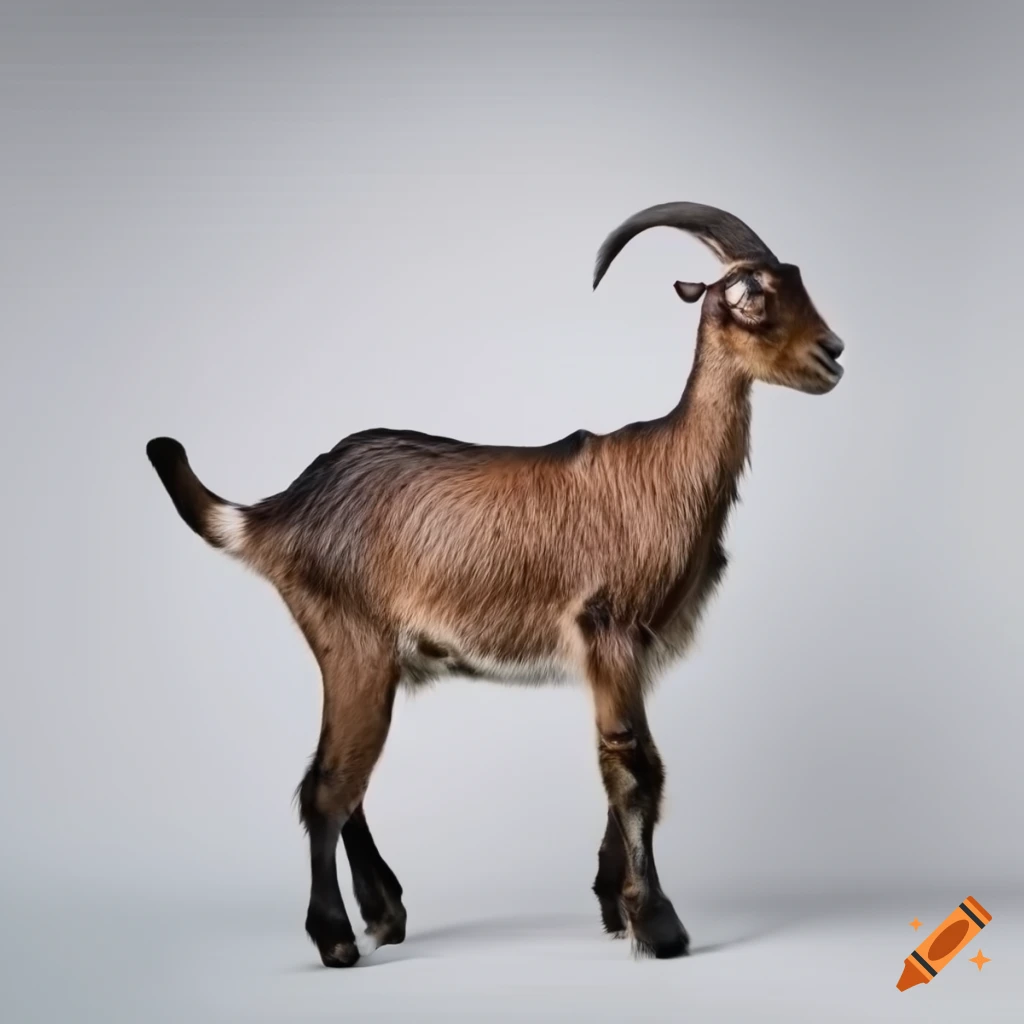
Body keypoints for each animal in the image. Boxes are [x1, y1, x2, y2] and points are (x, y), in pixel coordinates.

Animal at [146, 201, 844, 966]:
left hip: (371, 657)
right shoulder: (609, 627)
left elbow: (621, 765)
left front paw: (613, 904)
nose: (833, 352)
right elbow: (633, 766)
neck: (666, 468)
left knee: (345, 778)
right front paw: (659, 926)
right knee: (328, 784)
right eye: (749, 293)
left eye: (797, 280)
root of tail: (280, 511)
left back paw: (384, 911)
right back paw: (337, 937)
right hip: (351, 641)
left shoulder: (631, 653)